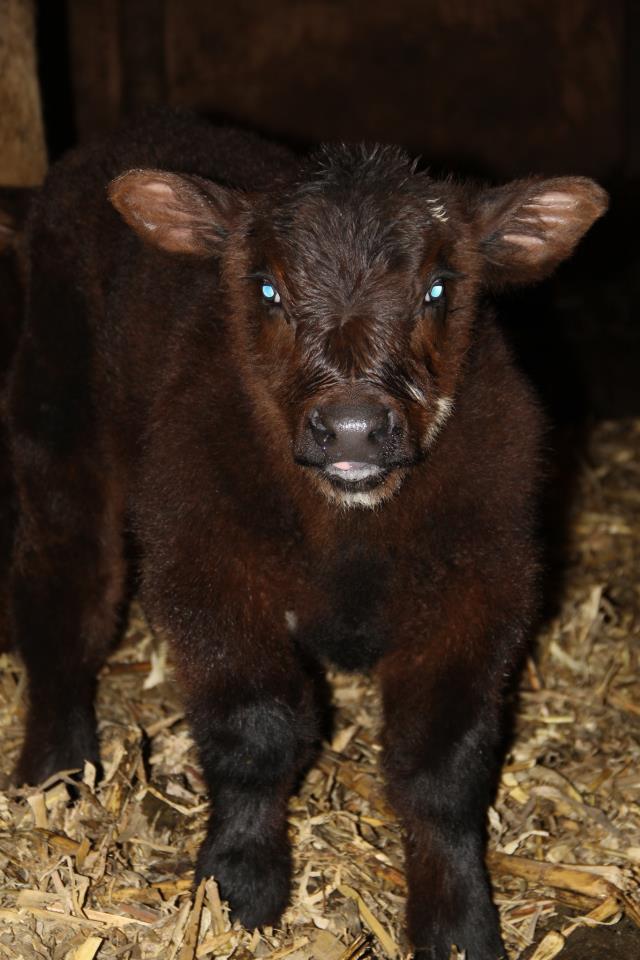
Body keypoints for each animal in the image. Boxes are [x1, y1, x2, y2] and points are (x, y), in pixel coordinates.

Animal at [2, 111, 607, 958]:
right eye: (267, 288)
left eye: (437, 288)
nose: (352, 427)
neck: (346, 535)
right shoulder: (206, 567)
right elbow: (256, 733)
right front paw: (238, 886)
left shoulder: (480, 587)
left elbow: (443, 767)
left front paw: (457, 922)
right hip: (56, 416)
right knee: (66, 593)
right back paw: (55, 771)